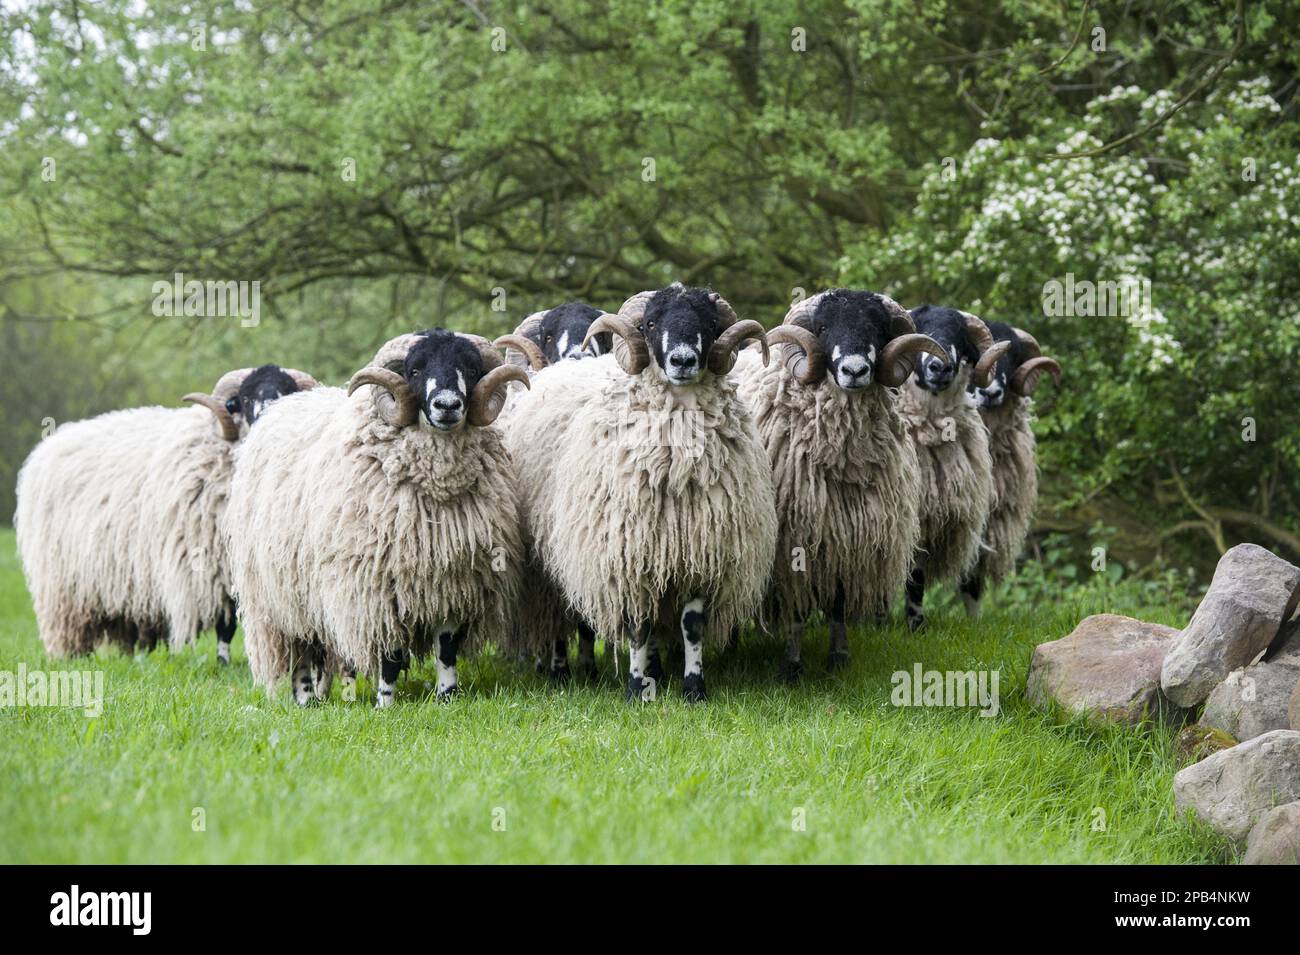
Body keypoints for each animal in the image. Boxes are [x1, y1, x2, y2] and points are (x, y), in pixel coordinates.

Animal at [14, 365, 315, 661]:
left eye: (288, 390)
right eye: (244, 398)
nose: (268, 415)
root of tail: (49, 444)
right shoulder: (205, 563)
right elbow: (224, 623)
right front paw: (222, 662)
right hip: (62, 588)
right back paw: (70, 657)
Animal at [224, 329, 527, 706]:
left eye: (471, 370)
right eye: (414, 370)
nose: (447, 405)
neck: (438, 488)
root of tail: (279, 410)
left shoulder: (452, 579)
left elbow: (446, 648)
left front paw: (447, 696)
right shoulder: (377, 588)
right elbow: (392, 652)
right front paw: (385, 702)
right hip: (279, 596)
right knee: (302, 649)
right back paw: (306, 698)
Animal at [503, 283, 778, 702]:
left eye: (710, 324)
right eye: (650, 323)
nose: (683, 361)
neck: (679, 466)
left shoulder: (701, 551)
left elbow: (691, 625)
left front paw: (693, 687)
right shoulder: (629, 555)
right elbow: (638, 624)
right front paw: (636, 690)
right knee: (561, 617)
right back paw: (563, 672)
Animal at [733, 288, 947, 676]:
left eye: (878, 329)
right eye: (822, 328)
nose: (854, 370)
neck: (843, 460)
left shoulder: (848, 536)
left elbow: (838, 602)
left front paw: (839, 656)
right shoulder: (793, 542)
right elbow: (798, 606)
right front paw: (791, 665)